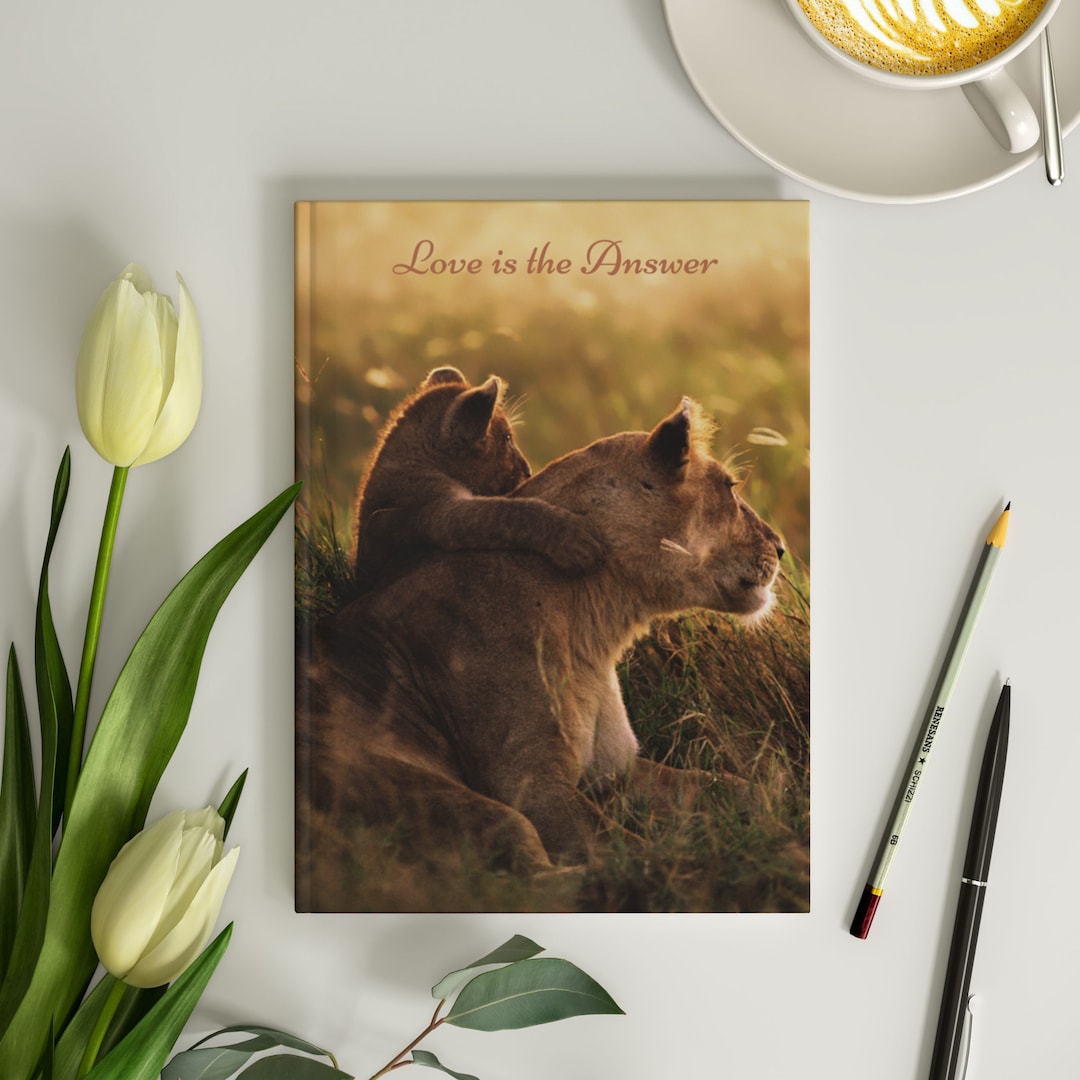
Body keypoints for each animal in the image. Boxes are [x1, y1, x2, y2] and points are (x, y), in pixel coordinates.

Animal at [296, 397, 785, 911]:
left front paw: (779, 803)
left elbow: (731, 787)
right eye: (730, 487)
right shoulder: (531, 783)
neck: (596, 623)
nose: (781, 548)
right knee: (526, 884)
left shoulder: (616, 769)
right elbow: (621, 846)